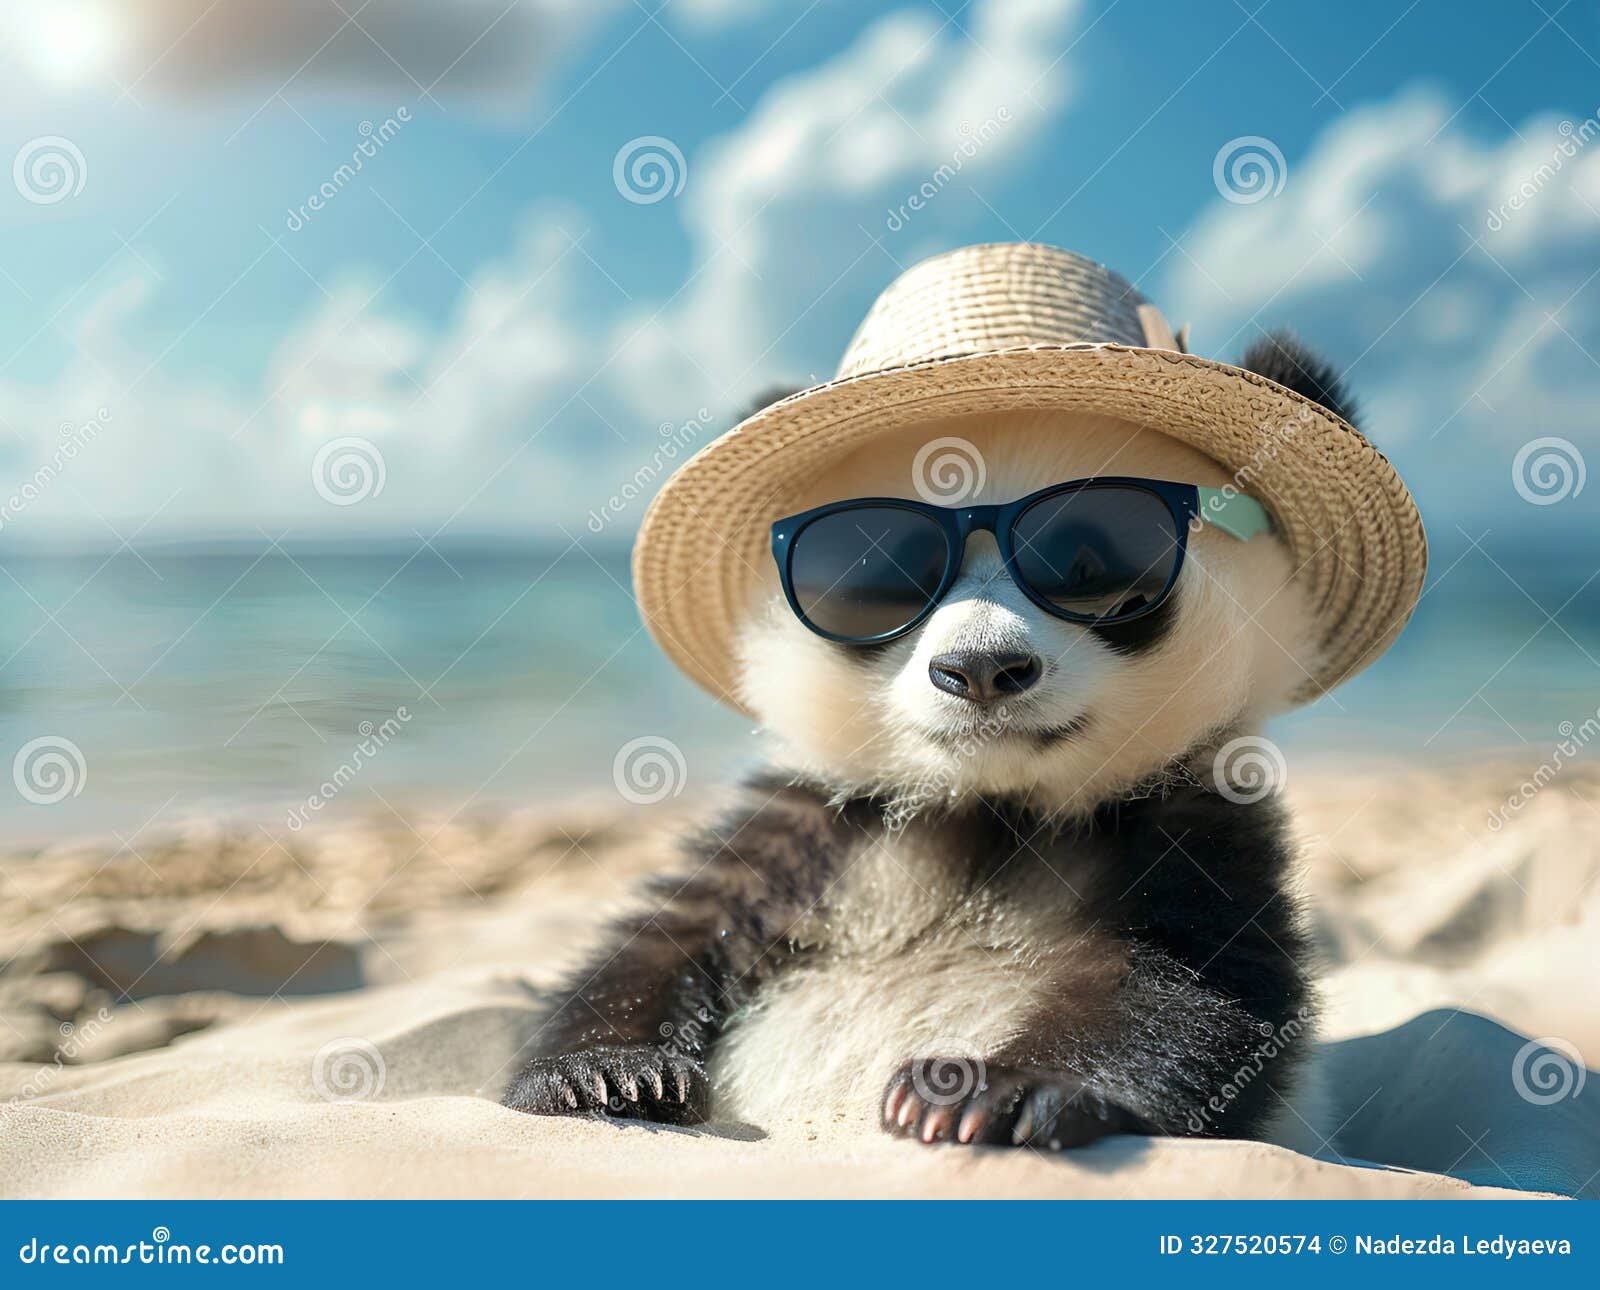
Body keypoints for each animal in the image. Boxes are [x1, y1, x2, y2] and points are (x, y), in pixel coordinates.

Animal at [502, 333, 1353, 1154]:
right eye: (882, 565)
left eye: (1093, 564)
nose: (980, 668)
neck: (990, 806)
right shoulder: (817, 829)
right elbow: (663, 944)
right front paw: (606, 1073)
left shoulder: (1191, 823)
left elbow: (1185, 987)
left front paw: (998, 1093)